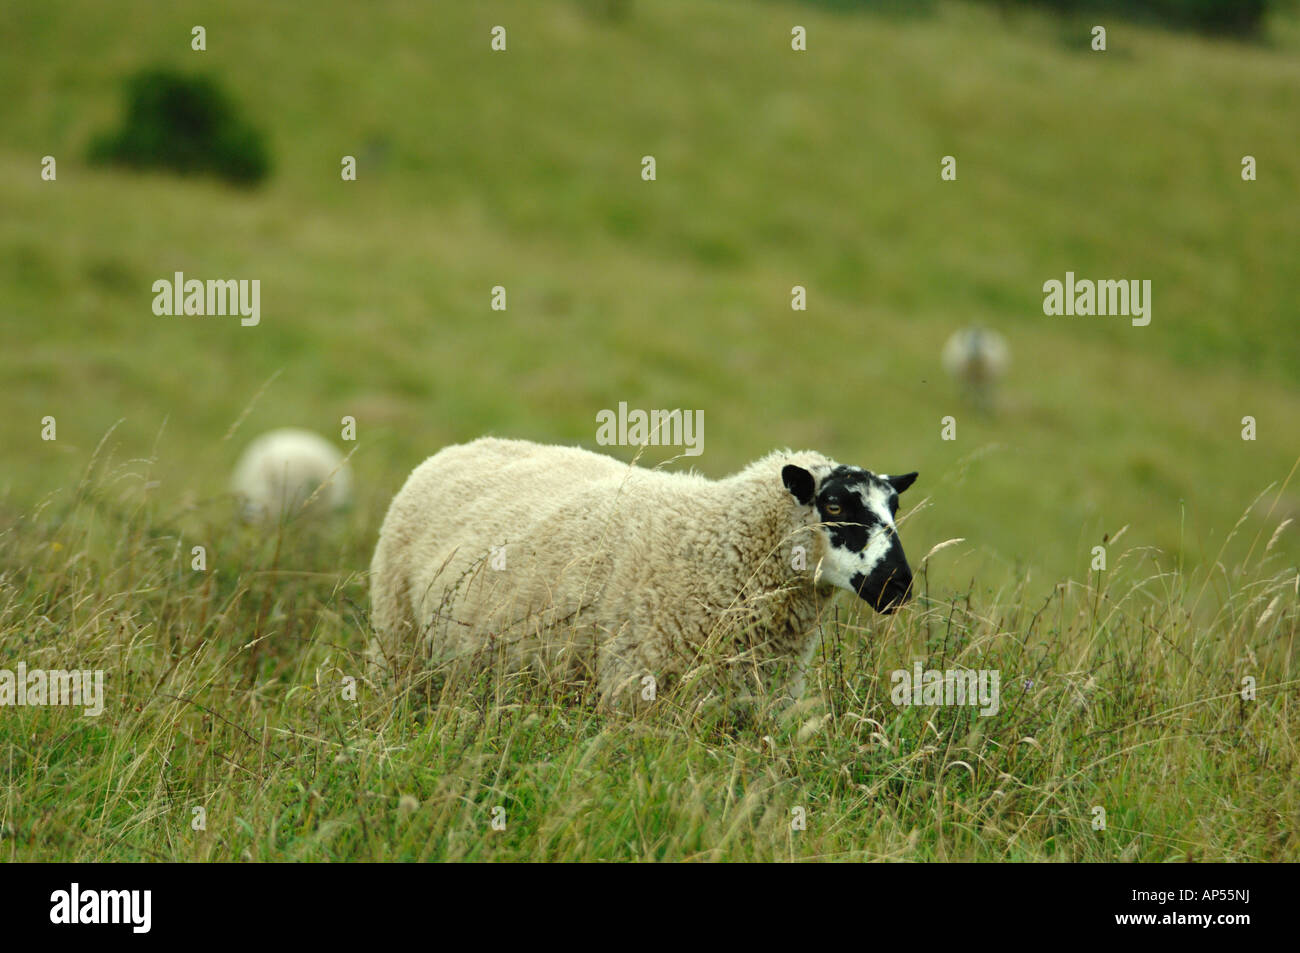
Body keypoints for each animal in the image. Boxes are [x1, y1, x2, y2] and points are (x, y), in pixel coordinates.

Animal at [368, 437, 918, 710]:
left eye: (894, 507)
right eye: (833, 505)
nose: (899, 585)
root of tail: (458, 447)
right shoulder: (636, 693)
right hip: (397, 636)